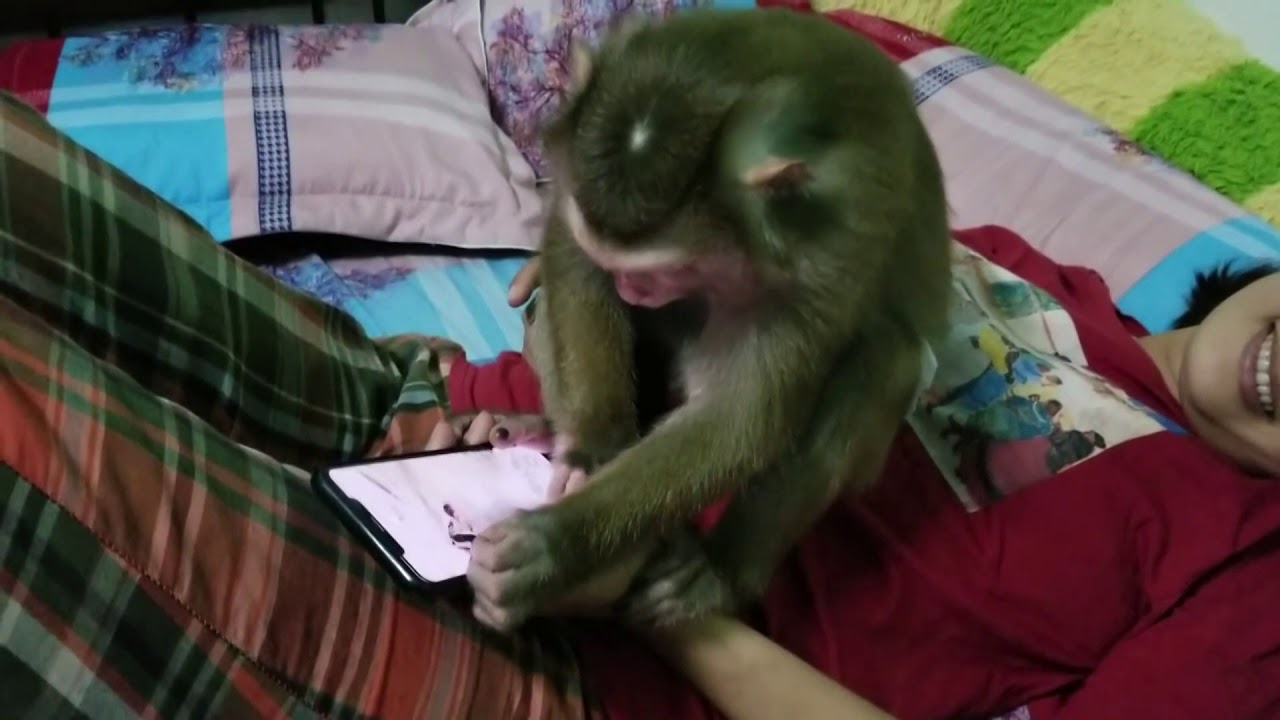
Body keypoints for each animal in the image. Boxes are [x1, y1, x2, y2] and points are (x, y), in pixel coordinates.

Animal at [463, 6, 953, 631]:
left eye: (660, 272)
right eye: (627, 270)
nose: (629, 287)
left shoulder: (824, 253)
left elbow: (742, 416)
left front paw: (556, 547)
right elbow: (570, 247)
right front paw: (594, 444)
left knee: (884, 358)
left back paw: (721, 567)